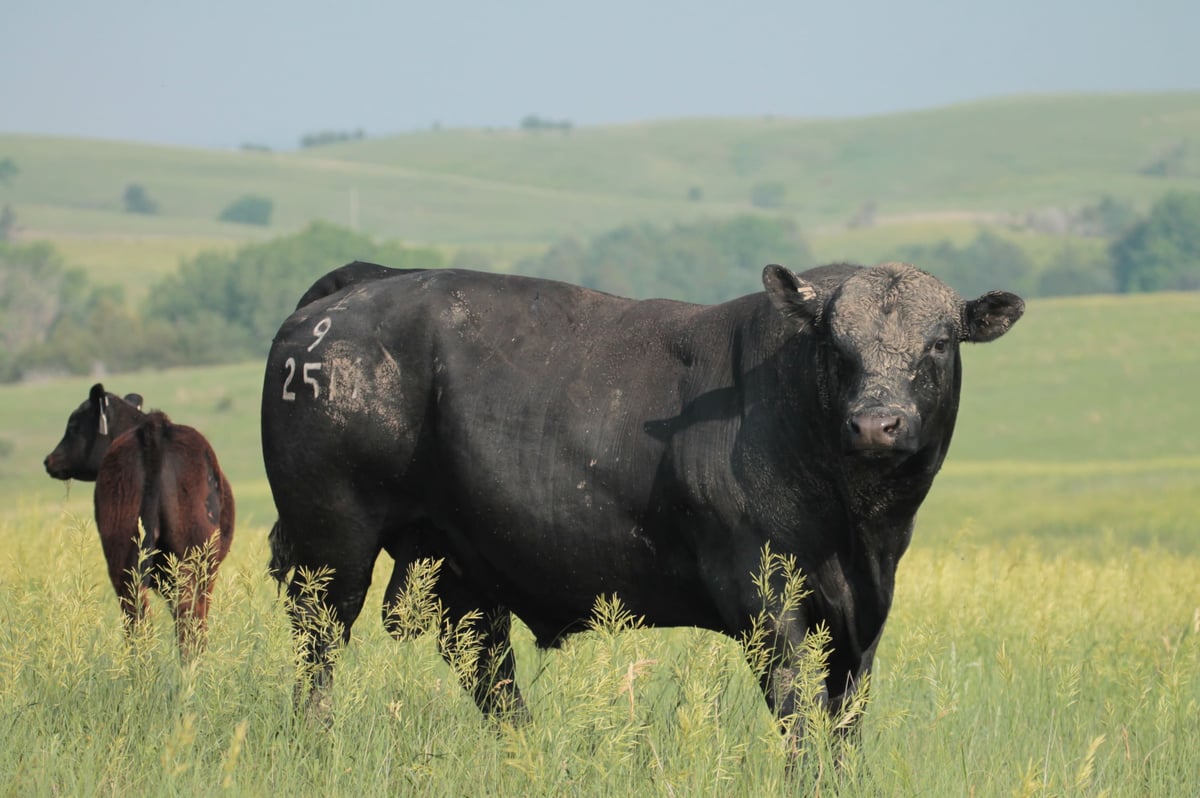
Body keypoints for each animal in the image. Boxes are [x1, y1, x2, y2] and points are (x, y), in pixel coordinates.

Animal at [44, 384, 236, 659]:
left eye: (74, 426)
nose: (49, 460)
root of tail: (155, 427)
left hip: (123, 556)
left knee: (137, 613)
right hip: (191, 559)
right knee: (186, 617)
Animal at [262, 261, 1023, 742]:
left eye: (939, 343)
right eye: (835, 344)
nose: (875, 423)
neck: (857, 534)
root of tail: (358, 288)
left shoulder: (861, 622)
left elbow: (843, 729)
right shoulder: (765, 600)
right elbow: (799, 723)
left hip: (458, 565)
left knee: (484, 666)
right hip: (331, 546)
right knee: (317, 652)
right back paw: (313, 746)